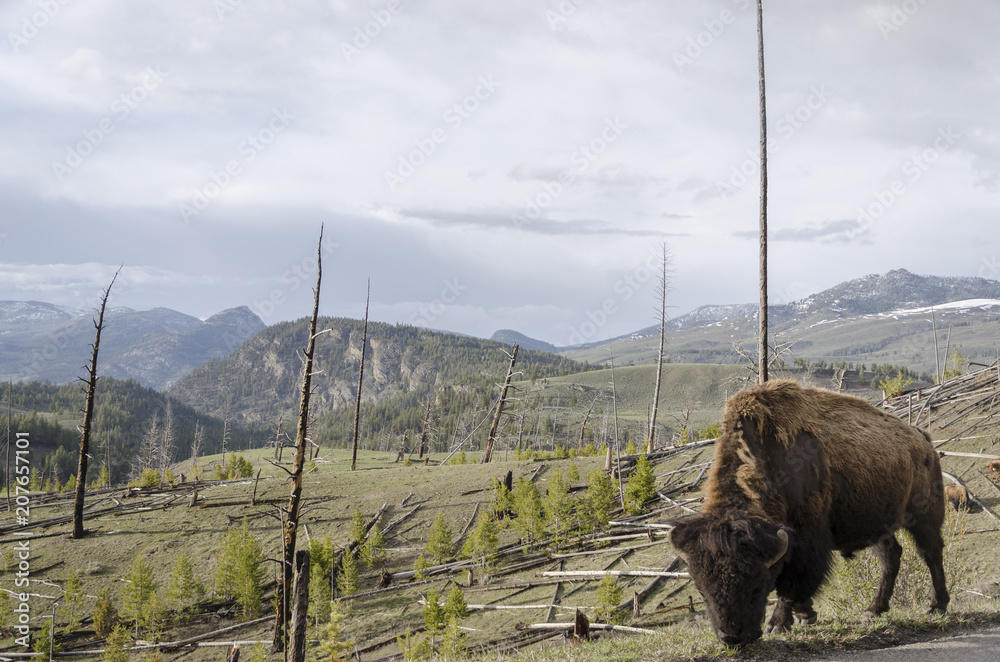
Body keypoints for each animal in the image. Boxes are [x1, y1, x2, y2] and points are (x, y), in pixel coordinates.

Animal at [669, 380, 948, 646]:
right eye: (702, 589)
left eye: (758, 586)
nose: (732, 637)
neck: (770, 457)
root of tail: (923, 441)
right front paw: (805, 616)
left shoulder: (805, 537)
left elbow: (792, 580)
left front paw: (778, 624)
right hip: (878, 525)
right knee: (891, 557)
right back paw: (873, 610)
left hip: (924, 516)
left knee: (931, 553)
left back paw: (937, 606)